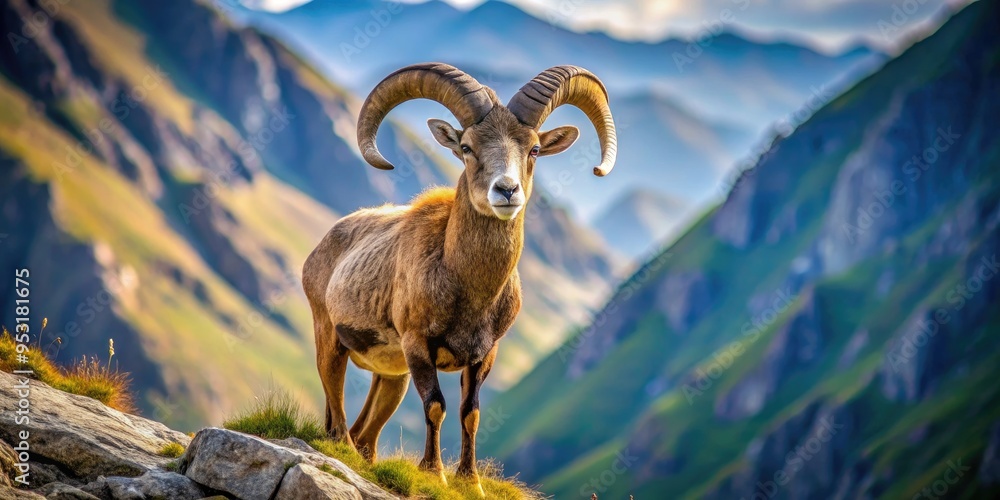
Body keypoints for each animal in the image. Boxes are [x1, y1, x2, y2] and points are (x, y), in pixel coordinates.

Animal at [302, 62, 618, 494]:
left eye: (534, 149)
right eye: (467, 147)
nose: (506, 190)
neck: (468, 290)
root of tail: (321, 248)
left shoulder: (485, 355)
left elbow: (471, 412)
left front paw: (471, 482)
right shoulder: (419, 345)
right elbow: (437, 406)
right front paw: (434, 473)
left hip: (392, 375)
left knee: (366, 431)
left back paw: (364, 455)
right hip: (331, 339)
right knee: (335, 404)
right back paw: (344, 451)